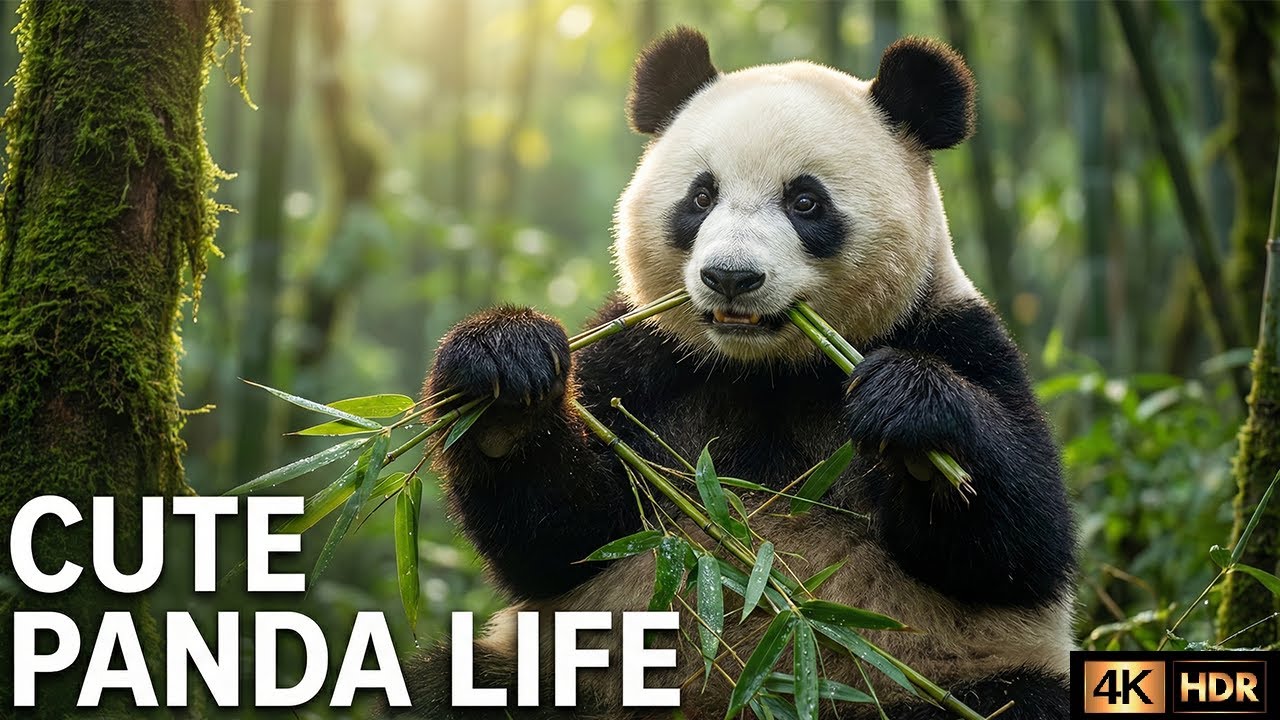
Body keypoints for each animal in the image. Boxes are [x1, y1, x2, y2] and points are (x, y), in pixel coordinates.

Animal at [399, 27, 1076, 720]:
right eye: (701, 197)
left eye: (805, 201)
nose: (730, 276)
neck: (765, 370)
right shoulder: (643, 359)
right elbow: (559, 538)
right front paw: (505, 382)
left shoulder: (953, 333)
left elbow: (1020, 544)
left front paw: (908, 411)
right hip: (564, 679)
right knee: (450, 685)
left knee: (1022, 700)